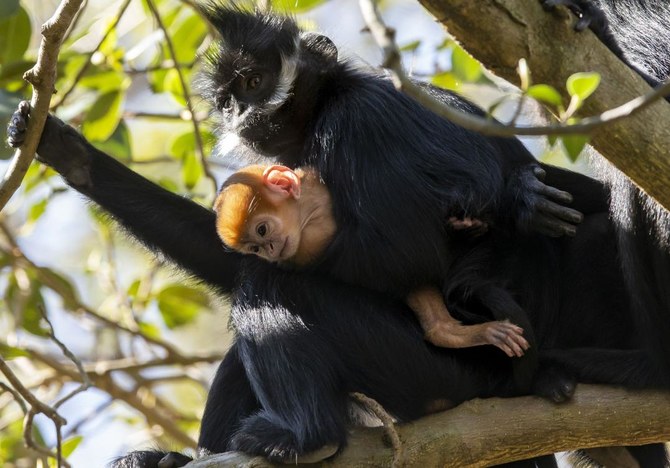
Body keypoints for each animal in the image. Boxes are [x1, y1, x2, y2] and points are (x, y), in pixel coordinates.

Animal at [214, 163, 530, 357]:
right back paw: (449, 332)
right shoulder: (308, 244)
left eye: (262, 230)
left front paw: (466, 223)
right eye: (254, 248)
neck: (311, 212)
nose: (268, 249)